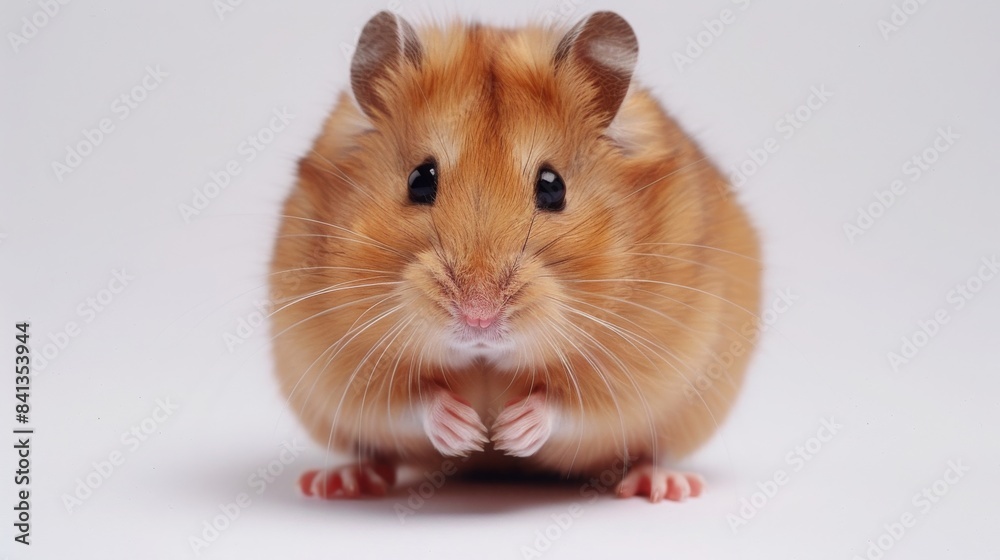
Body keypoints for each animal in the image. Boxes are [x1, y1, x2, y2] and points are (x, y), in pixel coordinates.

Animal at [269, 10, 761, 503]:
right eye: (419, 179)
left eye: (553, 186)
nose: (478, 317)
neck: (484, 359)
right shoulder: (339, 368)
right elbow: (406, 402)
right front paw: (469, 432)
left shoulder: (640, 371)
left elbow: (572, 407)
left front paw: (506, 431)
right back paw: (339, 482)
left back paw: (665, 485)